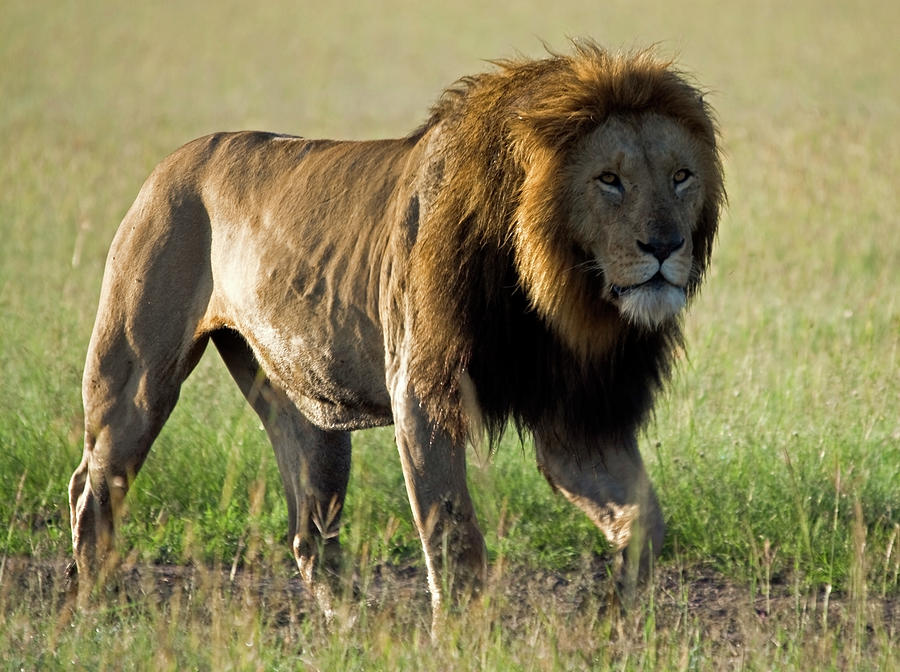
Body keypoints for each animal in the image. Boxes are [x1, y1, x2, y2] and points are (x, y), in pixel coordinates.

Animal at [68, 43, 724, 623]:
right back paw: (94, 601)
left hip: (308, 413)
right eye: (609, 179)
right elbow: (453, 536)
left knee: (309, 533)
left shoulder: (575, 418)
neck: (553, 291)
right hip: (136, 379)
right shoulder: (424, 394)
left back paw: (357, 626)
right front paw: (460, 638)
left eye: (681, 176)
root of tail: (172, 161)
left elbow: (643, 522)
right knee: (93, 483)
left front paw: (609, 614)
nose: (665, 246)